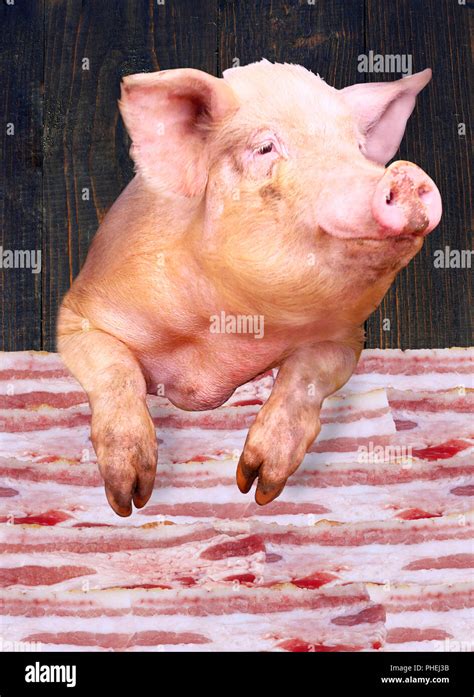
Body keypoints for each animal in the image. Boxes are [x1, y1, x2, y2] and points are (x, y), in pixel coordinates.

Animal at [57, 60, 442, 516]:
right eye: (265, 148)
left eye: (359, 148)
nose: (406, 173)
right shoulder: (79, 312)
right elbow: (116, 369)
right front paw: (128, 501)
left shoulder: (345, 338)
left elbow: (307, 375)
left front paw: (256, 490)